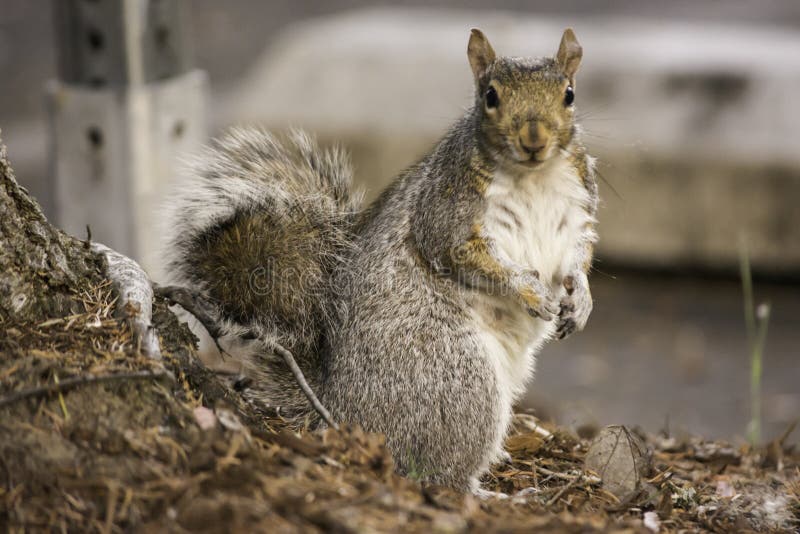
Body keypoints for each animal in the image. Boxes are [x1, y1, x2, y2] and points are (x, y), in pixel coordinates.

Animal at [161, 28, 598, 493]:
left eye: (569, 94)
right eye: (490, 96)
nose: (534, 140)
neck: (534, 177)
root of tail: (341, 409)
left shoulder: (579, 213)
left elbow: (580, 255)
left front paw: (582, 300)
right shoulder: (446, 213)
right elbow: (464, 256)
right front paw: (530, 292)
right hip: (456, 379)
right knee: (438, 471)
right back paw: (490, 493)